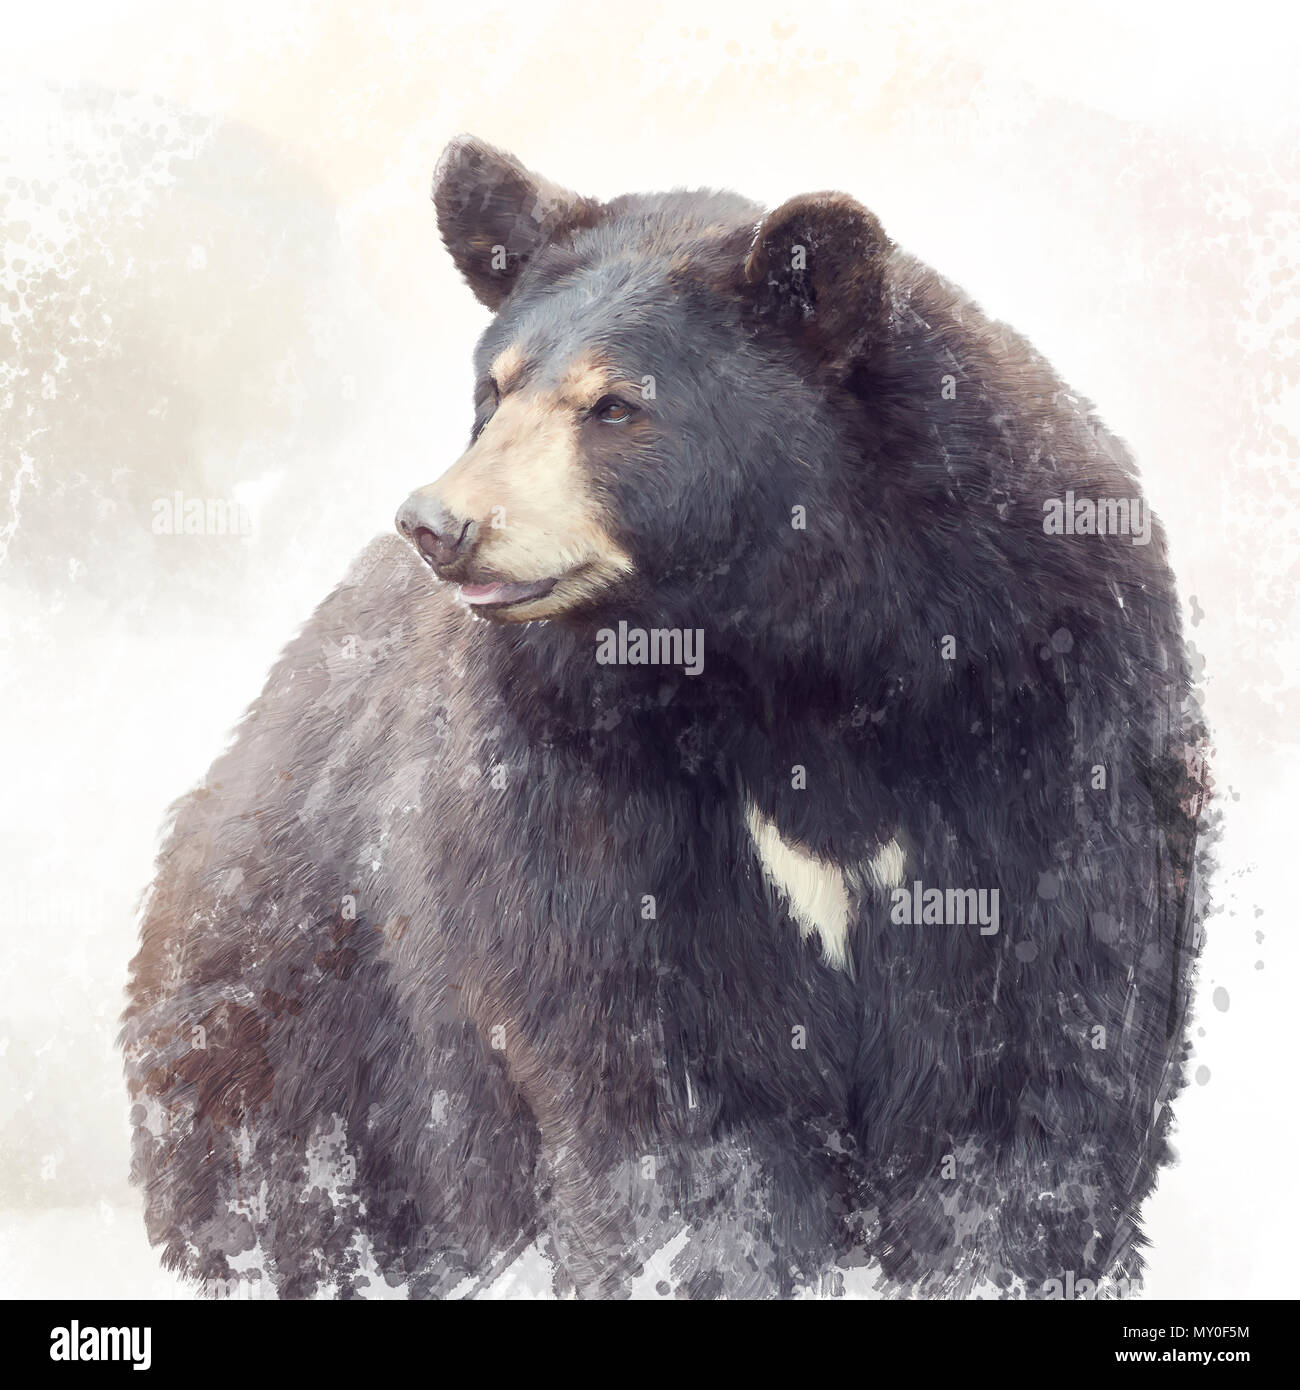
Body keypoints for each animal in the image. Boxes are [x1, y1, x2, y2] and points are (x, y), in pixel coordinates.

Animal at [122, 134, 1210, 1300]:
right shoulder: (575, 777)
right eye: (493, 386)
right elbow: (658, 1092)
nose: (438, 523)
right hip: (290, 1054)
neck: (791, 654)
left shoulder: (1046, 723)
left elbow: (1036, 1062)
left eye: (615, 406)